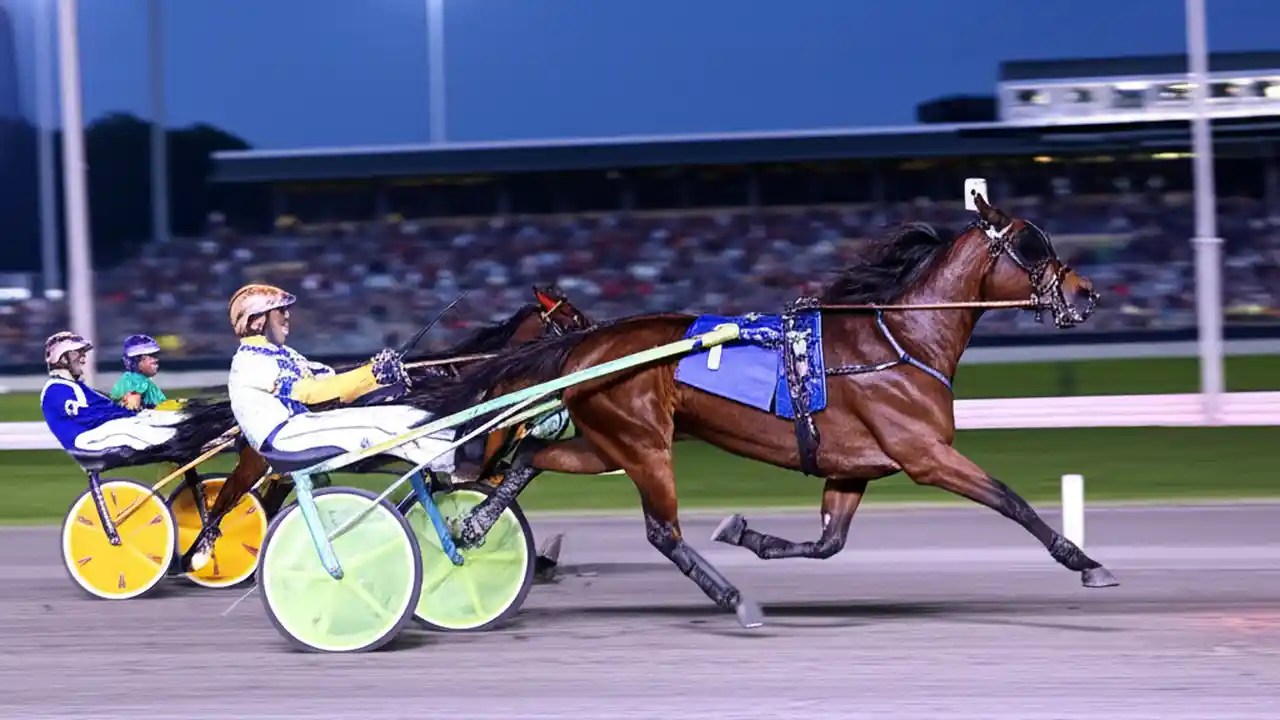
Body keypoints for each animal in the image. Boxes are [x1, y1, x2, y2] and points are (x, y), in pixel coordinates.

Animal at [405, 190, 1114, 627]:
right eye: (1032, 247)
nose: (1088, 293)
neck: (900, 341)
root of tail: (590, 344)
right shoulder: (925, 454)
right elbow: (1010, 499)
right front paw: (1086, 563)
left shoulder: (853, 466)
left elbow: (827, 543)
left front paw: (744, 531)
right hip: (644, 444)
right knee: (662, 532)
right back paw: (735, 598)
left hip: (610, 442)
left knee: (533, 453)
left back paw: (475, 526)